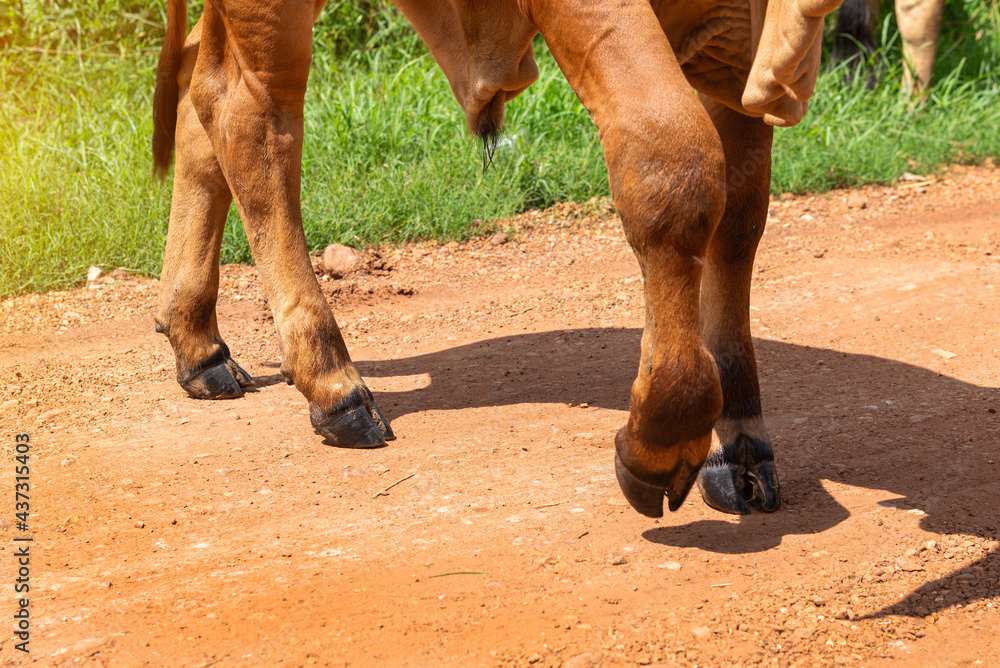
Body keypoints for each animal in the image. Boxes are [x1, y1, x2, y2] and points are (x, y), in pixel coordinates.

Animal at [152, 0, 842, 519]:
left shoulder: (735, 35)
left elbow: (740, 213)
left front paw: (741, 441)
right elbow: (675, 160)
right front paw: (663, 434)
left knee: (198, 91)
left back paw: (197, 341)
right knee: (248, 113)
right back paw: (331, 381)